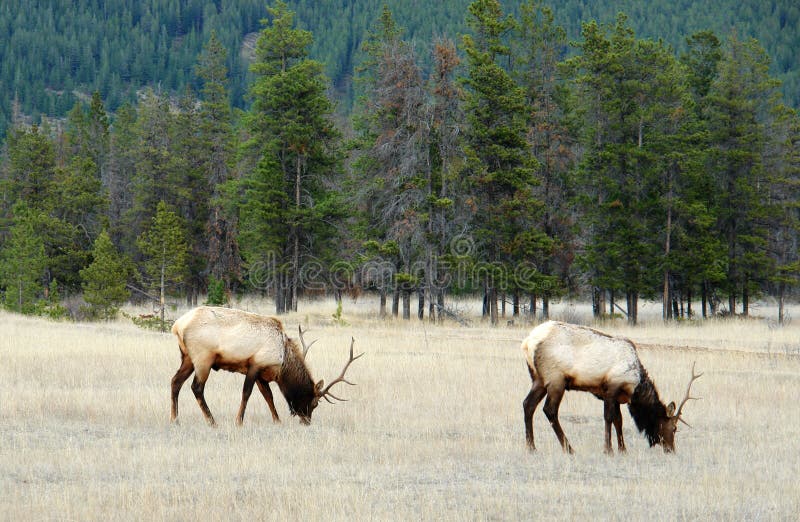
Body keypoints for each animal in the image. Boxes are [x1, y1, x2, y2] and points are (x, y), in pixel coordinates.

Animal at [170, 306, 362, 426]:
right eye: (314, 403)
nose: (306, 422)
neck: (283, 362)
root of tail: (177, 326)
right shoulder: (255, 365)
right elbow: (246, 393)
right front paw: (239, 421)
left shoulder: (262, 375)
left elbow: (268, 397)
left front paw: (277, 420)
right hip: (203, 358)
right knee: (196, 387)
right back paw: (212, 422)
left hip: (187, 358)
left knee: (175, 382)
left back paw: (175, 419)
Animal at [521, 321, 702, 454]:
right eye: (674, 428)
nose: (671, 449)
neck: (635, 388)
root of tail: (528, 343)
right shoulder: (612, 387)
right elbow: (608, 417)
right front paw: (608, 449)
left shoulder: (617, 395)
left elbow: (618, 420)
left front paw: (623, 449)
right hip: (556, 379)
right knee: (549, 410)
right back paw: (569, 448)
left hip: (538, 379)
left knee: (528, 404)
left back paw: (531, 447)